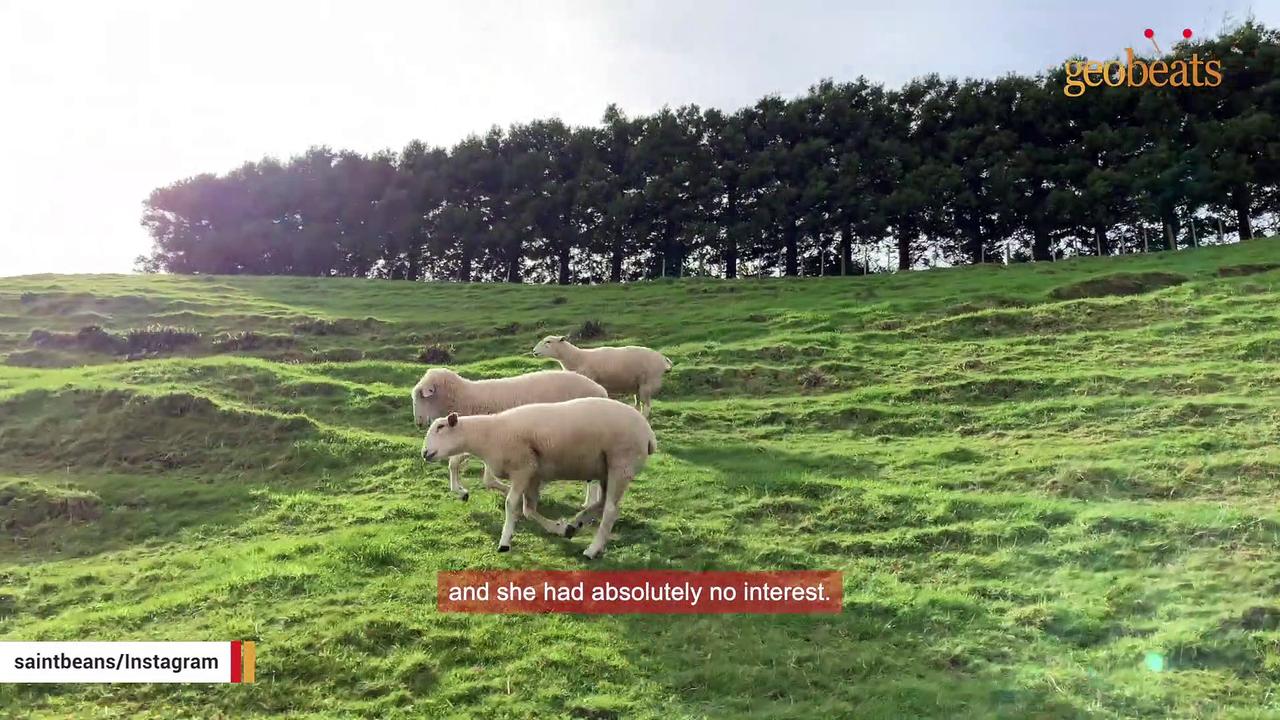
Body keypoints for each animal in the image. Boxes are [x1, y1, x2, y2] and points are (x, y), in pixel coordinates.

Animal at [412, 367, 608, 502]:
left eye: (421, 397)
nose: (419, 423)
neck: (464, 397)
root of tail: (601, 391)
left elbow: (483, 476)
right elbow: (455, 464)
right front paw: (460, 491)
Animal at [420, 397, 657, 559]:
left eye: (440, 427)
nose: (424, 453)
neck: (488, 435)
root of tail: (648, 434)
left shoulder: (523, 469)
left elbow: (511, 505)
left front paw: (504, 542)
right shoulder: (533, 475)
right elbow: (529, 510)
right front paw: (560, 528)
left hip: (621, 464)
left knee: (610, 510)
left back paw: (592, 549)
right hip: (606, 469)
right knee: (602, 502)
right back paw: (577, 522)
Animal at [531, 336, 673, 418]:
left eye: (548, 341)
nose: (534, 351)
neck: (577, 358)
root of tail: (663, 359)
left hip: (648, 383)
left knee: (646, 405)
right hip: (637, 385)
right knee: (638, 404)